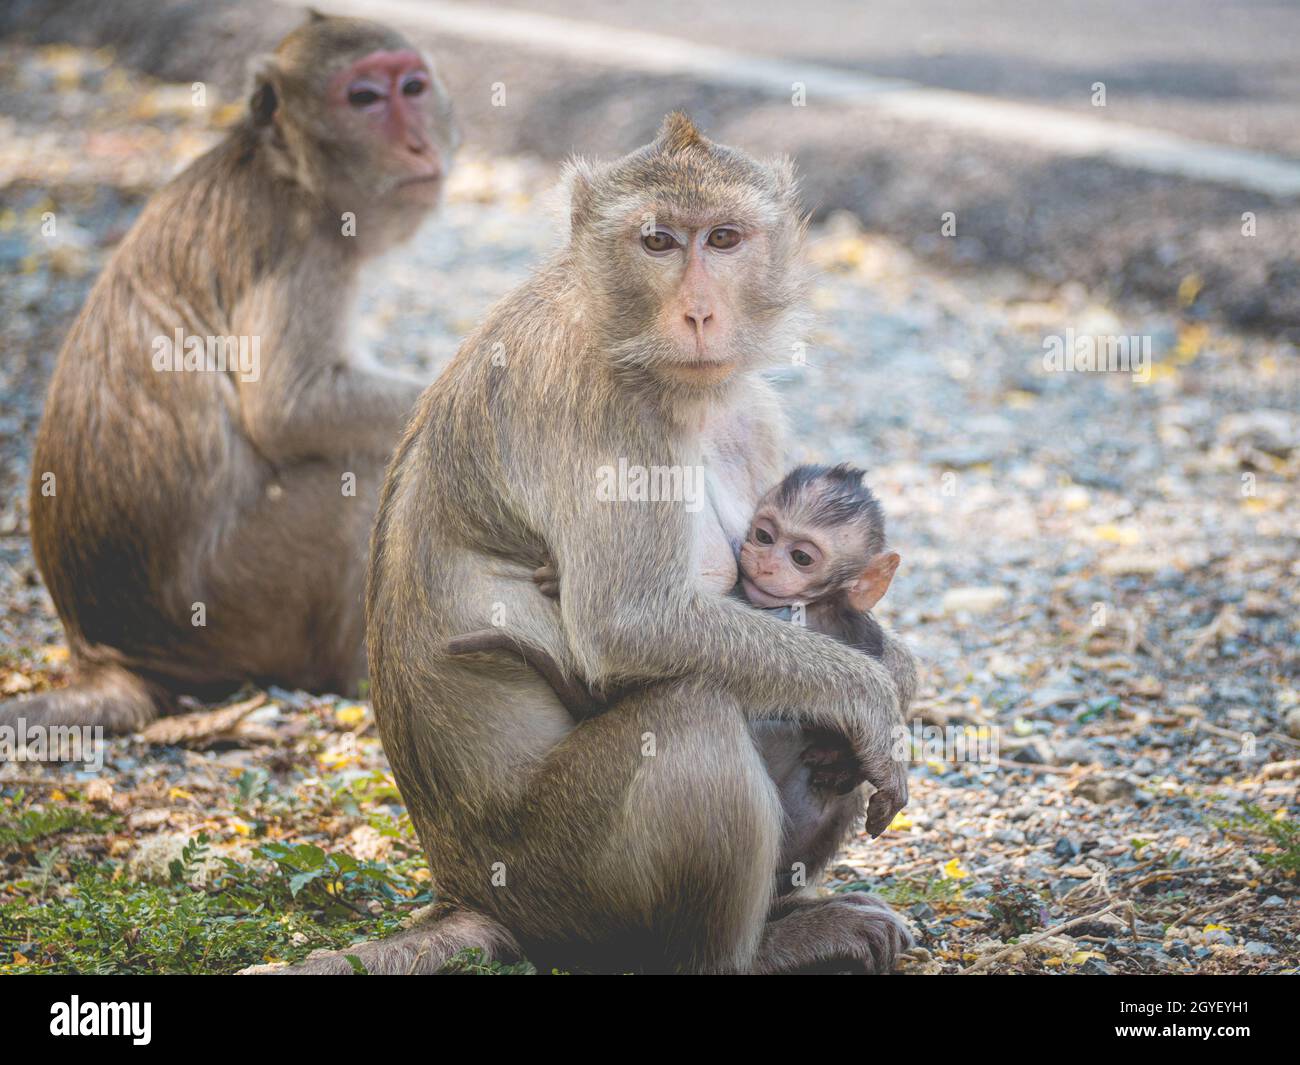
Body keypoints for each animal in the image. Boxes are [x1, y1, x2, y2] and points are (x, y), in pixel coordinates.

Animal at [2, 14, 458, 736]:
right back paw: (358, 677)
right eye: (363, 98)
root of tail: (100, 654)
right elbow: (289, 408)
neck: (285, 170)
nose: (417, 142)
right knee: (355, 477)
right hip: (233, 603)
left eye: (412, 87)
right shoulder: (303, 246)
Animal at [362, 113, 917, 975]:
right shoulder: (600, 407)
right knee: (692, 715)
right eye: (657, 242)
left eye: (723, 238)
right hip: (562, 880)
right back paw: (754, 952)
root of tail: (462, 889)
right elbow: (629, 623)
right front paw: (875, 695)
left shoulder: (749, 407)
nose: (698, 313)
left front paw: (899, 672)